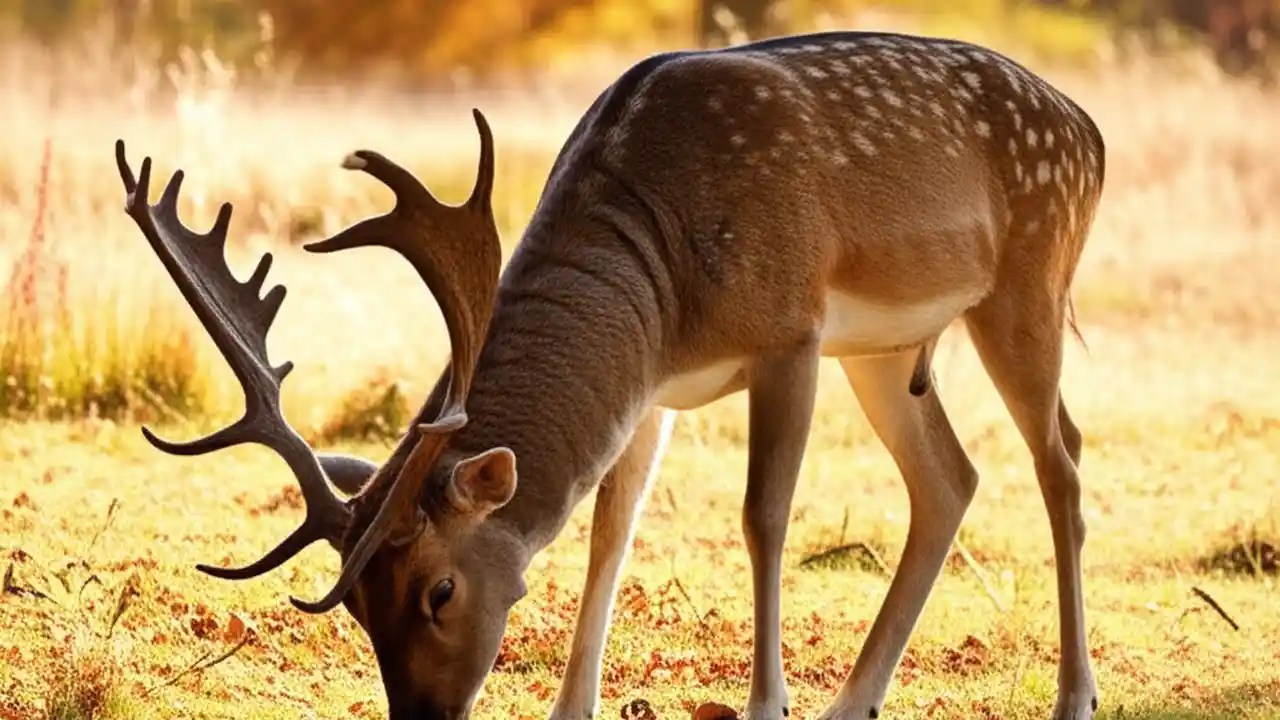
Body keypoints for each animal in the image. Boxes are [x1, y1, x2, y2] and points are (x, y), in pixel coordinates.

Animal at [115, 28, 1105, 720]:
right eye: (357, 603)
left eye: (440, 590)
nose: (425, 713)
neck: (664, 289)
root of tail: (1090, 133)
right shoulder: (653, 391)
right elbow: (610, 531)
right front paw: (573, 704)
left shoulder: (791, 329)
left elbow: (763, 517)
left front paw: (765, 701)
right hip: (889, 349)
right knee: (952, 476)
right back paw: (855, 699)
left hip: (1029, 278)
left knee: (1062, 460)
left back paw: (1074, 693)